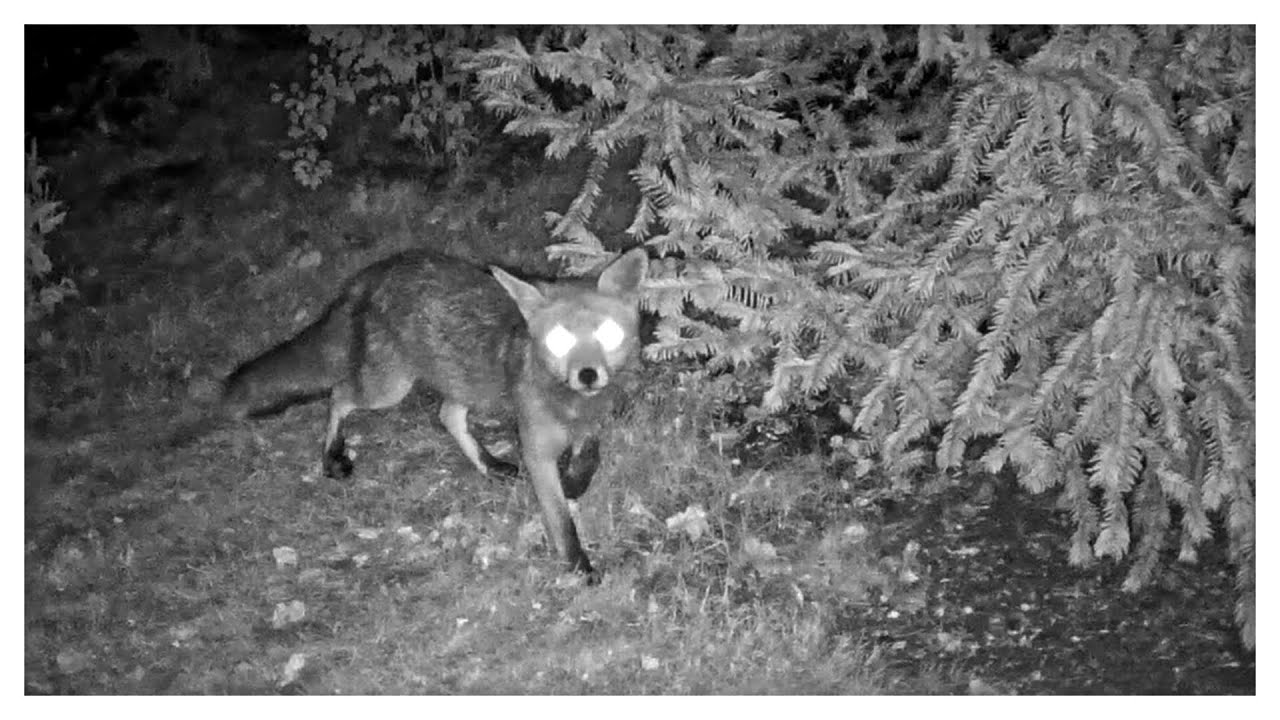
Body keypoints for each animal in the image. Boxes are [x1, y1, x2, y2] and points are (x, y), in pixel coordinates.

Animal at [222, 246, 650, 581]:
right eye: (560, 339)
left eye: (608, 334)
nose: (588, 374)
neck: (571, 404)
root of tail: (376, 270)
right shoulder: (536, 450)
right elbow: (561, 521)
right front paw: (579, 567)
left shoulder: (592, 420)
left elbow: (590, 454)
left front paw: (575, 480)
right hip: (388, 388)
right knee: (339, 396)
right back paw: (332, 457)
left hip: (466, 385)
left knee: (447, 415)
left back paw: (489, 465)